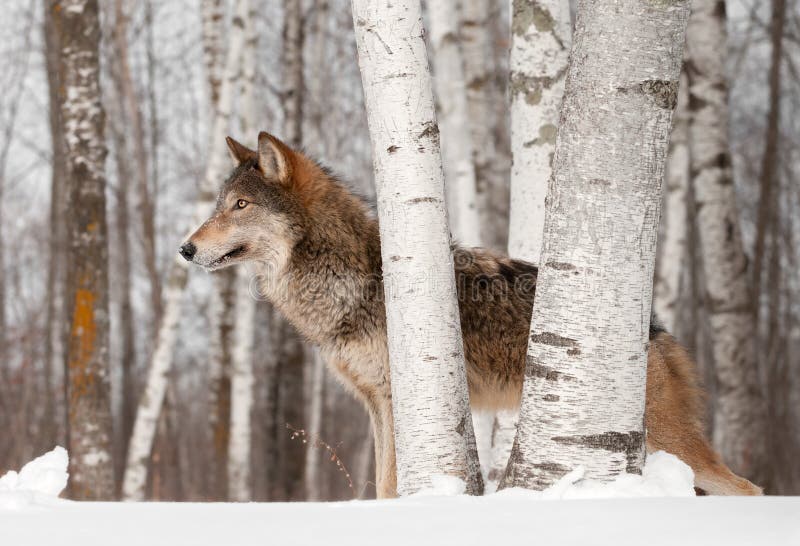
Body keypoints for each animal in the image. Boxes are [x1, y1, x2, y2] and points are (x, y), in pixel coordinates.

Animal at [179, 131, 762, 498]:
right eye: (219, 205)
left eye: (239, 206)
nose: (185, 249)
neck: (349, 274)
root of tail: (660, 332)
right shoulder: (376, 404)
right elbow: (380, 483)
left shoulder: (395, 399)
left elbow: (390, 484)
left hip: (670, 441)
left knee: (749, 486)